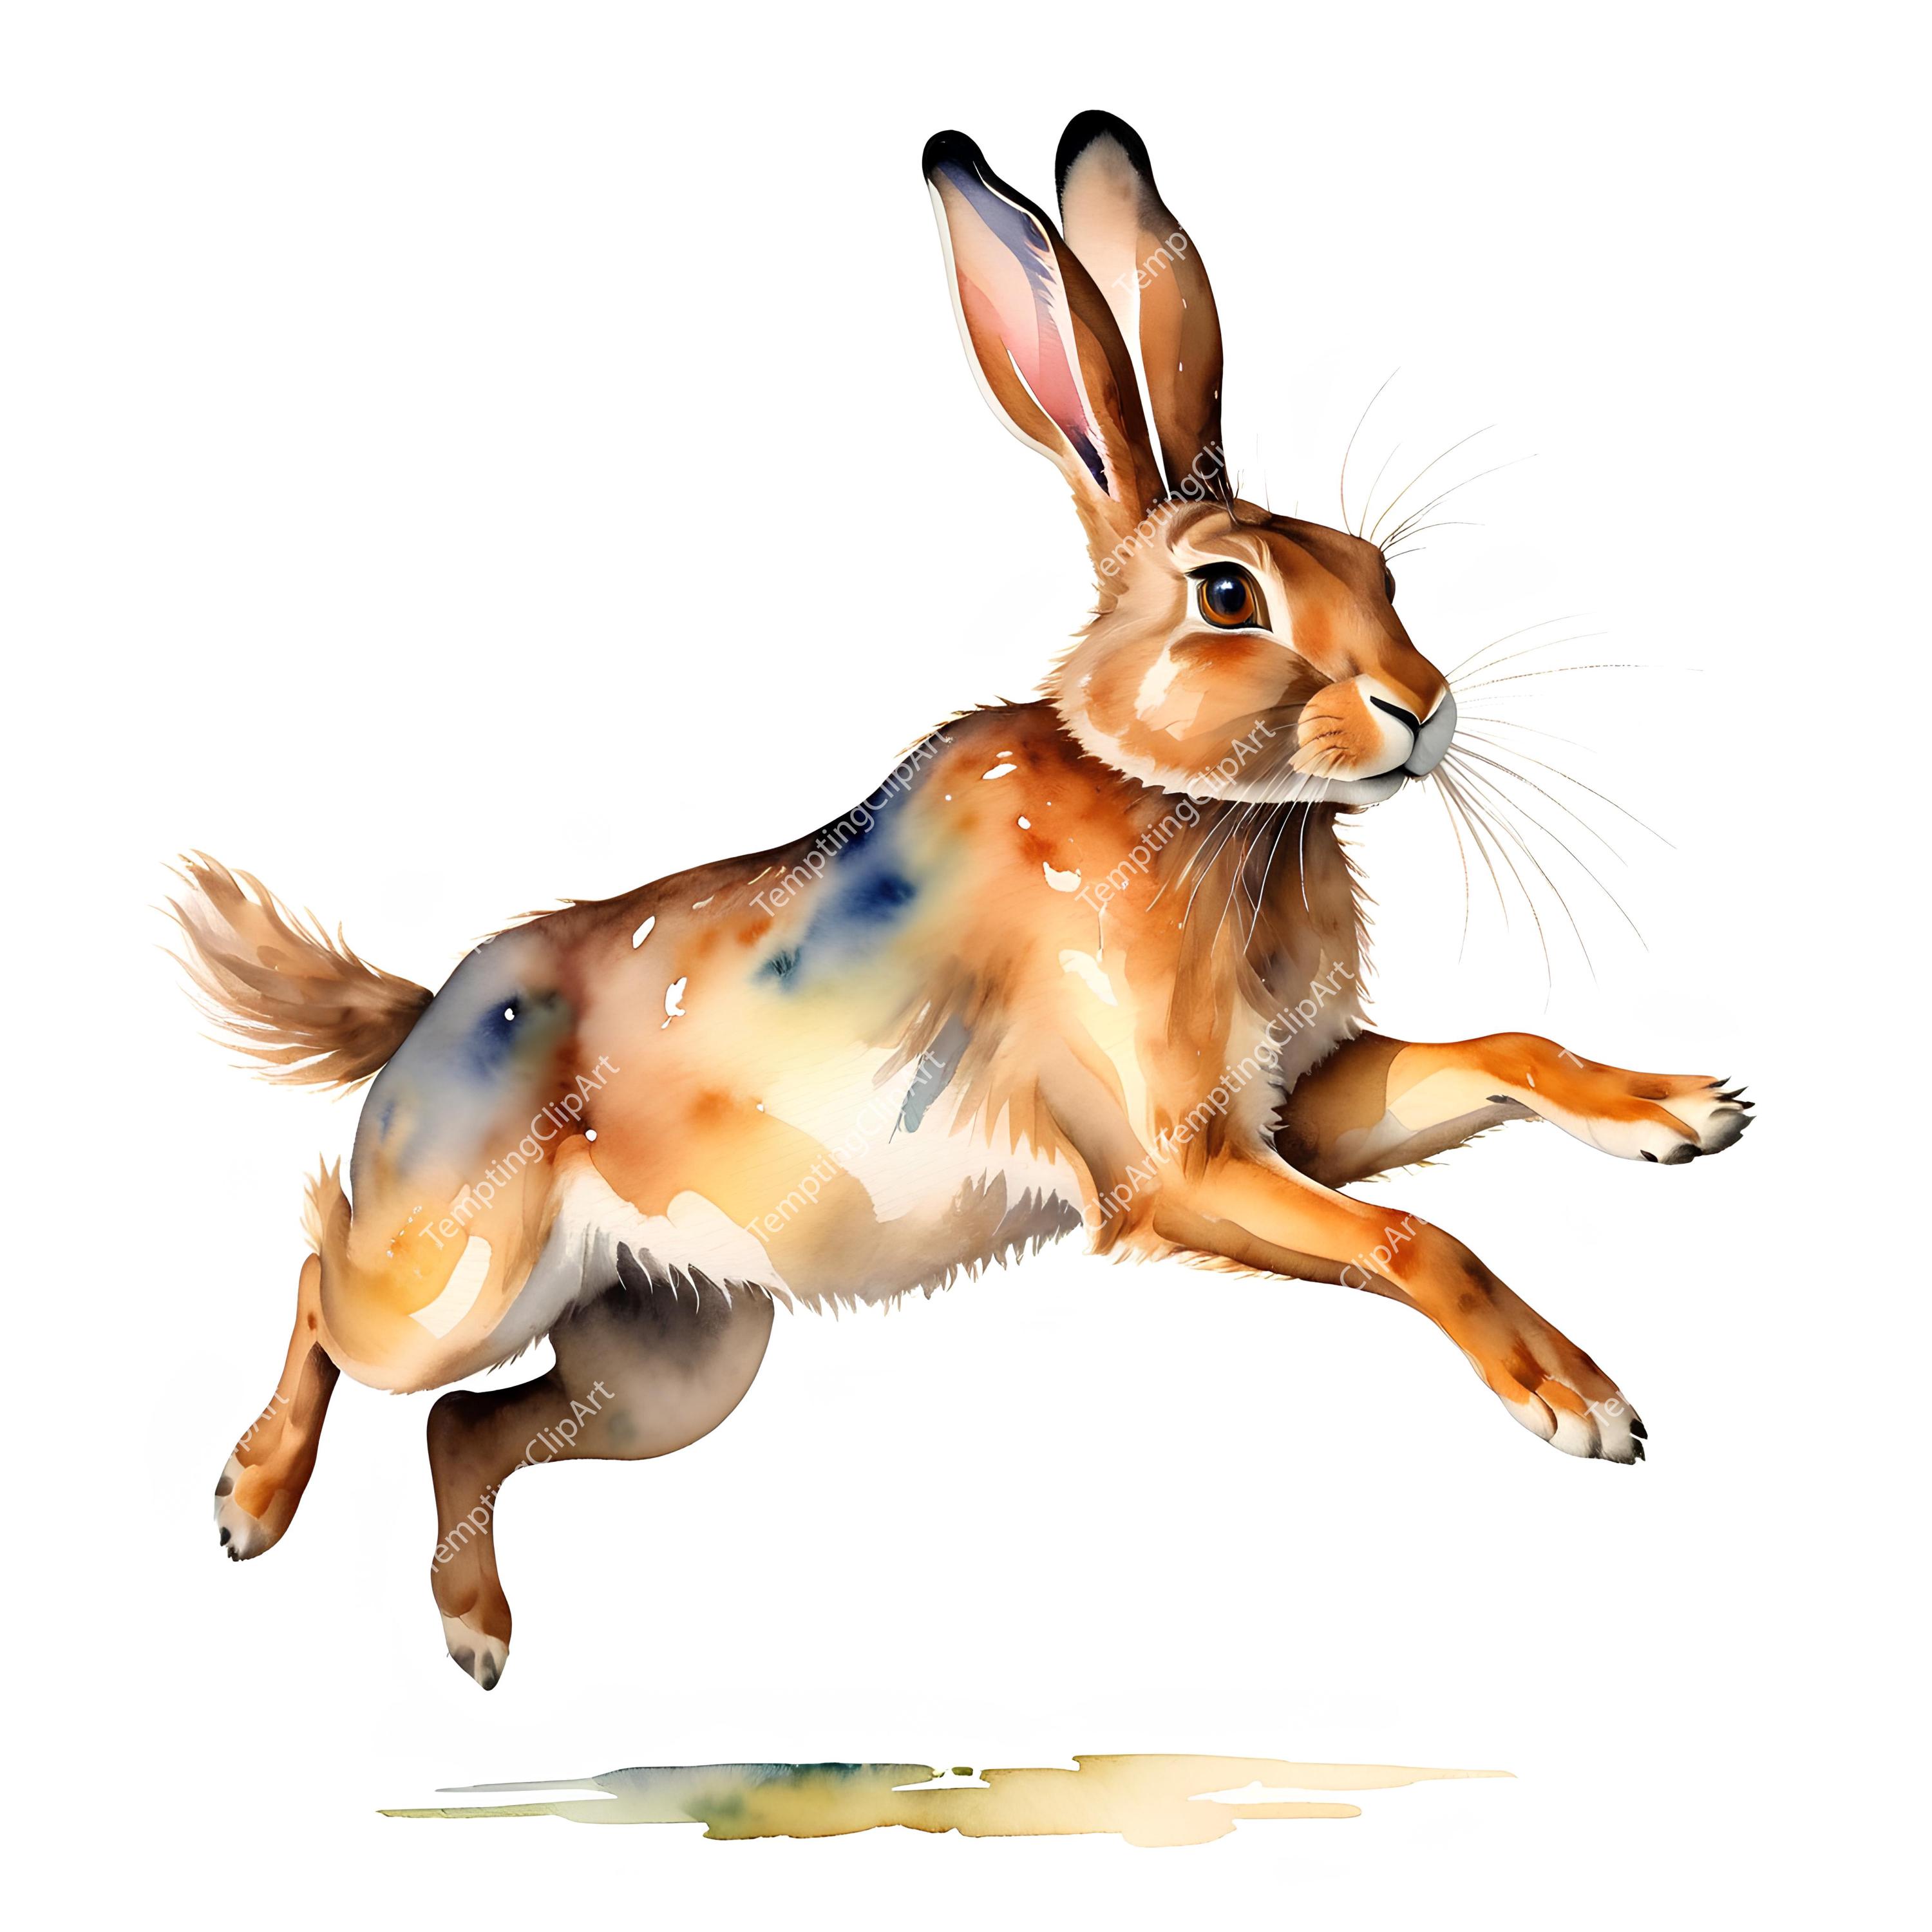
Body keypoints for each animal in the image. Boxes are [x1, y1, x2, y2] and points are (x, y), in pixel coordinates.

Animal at [174, 110, 1751, 1689]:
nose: (1422, 709)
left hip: (678, 1360)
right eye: (1229, 597)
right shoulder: (1170, 1167)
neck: (1199, 813)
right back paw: (251, 1502)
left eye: (1382, 573)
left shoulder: (1295, 1111)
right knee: (330, 1293)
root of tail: (417, 1023)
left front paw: (1686, 1116)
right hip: (454, 1287)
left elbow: (1499, 1060)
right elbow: (1419, 1240)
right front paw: (1582, 1404)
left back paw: (475, 1629)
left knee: (468, 1426)